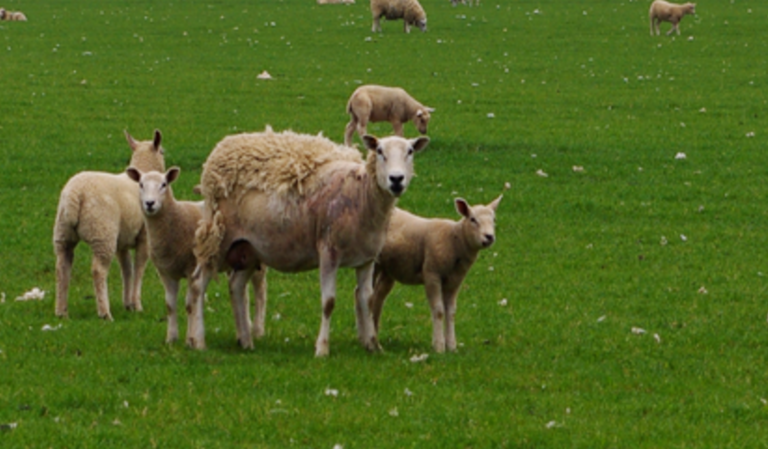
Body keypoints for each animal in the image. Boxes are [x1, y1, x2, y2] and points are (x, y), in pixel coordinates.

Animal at [54, 130, 165, 321]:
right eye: (163, 152)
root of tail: (75, 194)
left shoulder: (122, 240)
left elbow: (127, 269)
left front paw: (128, 304)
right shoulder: (144, 236)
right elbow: (139, 267)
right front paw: (137, 305)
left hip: (63, 232)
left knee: (62, 266)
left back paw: (62, 312)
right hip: (103, 231)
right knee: (98, 270)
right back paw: (105, 313)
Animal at [126, 167, 269, 344]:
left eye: (164, 184)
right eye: (141, 184)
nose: (150, 204)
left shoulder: (191, 267)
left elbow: (189, 304)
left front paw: (189, 339)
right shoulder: (166, 271)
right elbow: (170, 305)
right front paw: (171, 339)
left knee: (260, 290)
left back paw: (257, 330)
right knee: (243, 291)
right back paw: (243, 330)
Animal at [188, 127, 429, 355]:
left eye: (410, 151)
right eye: (379, 151)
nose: (396, 179)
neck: (360, 194)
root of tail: (219, 150)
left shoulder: (366, 259)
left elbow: (367, 301)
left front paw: (373, 345)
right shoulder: (329, 251)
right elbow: (328, 302)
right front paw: (322, 348)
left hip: (248, 248)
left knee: (236, 286)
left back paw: (246, 342)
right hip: (218, 238)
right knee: (198, 283)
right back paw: (197, 341)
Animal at [370, 195, 502, 352]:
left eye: (494, 219)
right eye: (472, 219)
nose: (489, 237)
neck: (455, 240)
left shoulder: (455, 280)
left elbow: (451, 312)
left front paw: (451, 346)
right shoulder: (432, 274)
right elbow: (439, 310)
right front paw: (439, 346)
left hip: (389, 269)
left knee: (378, 298)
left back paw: (375, 337)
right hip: (374, 264)